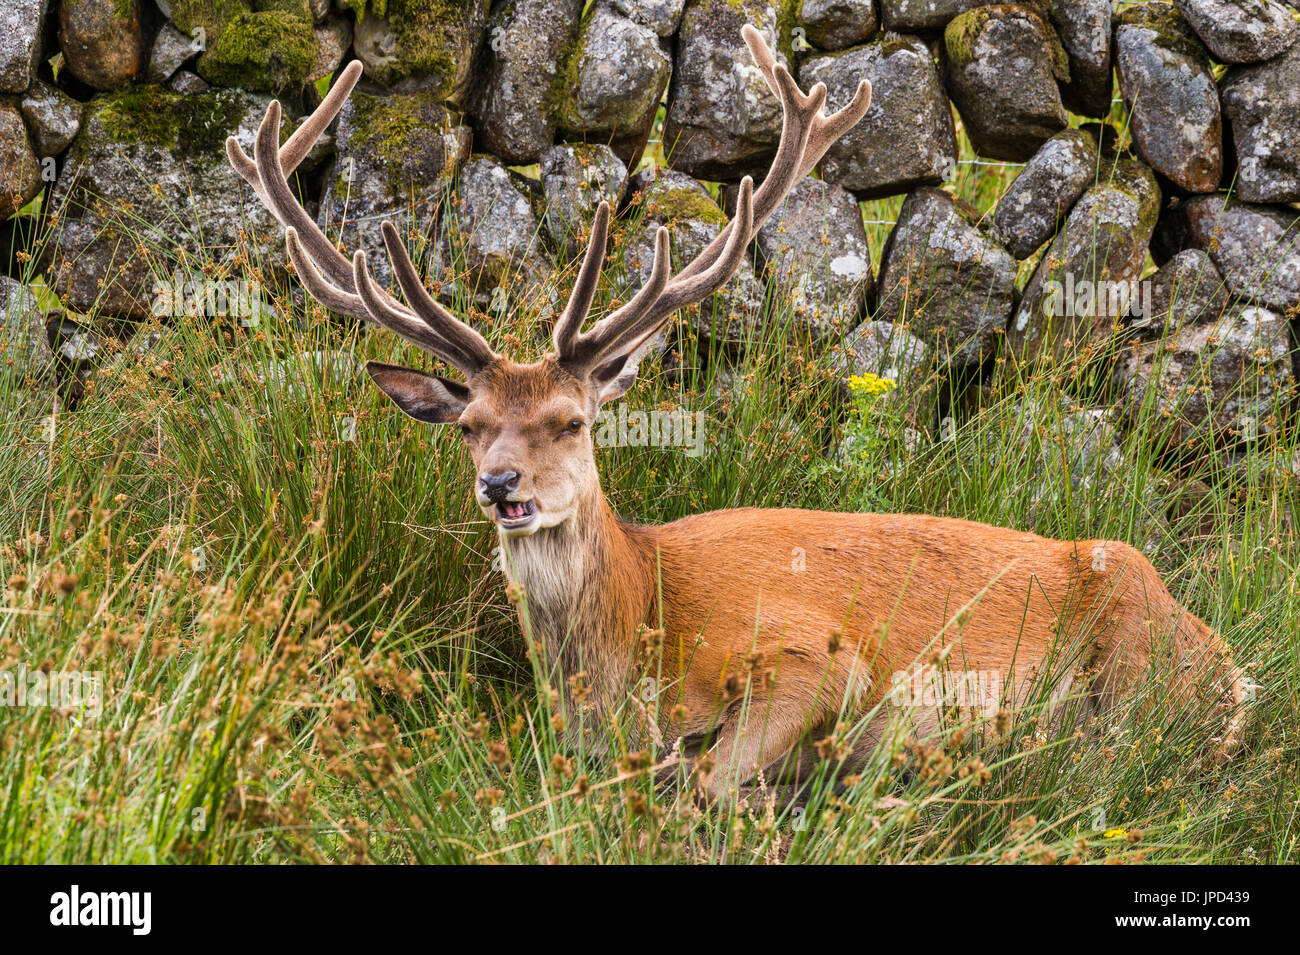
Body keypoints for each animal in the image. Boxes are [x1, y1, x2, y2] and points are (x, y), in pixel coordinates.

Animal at [227, 26, 1246, 803]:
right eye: (470, 424)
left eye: (572, 420)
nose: (501, 485)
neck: (632, 632)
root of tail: (1234, 668)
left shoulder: (811, 651)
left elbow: (708, 779)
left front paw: (778, 784)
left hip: (1138, 655)